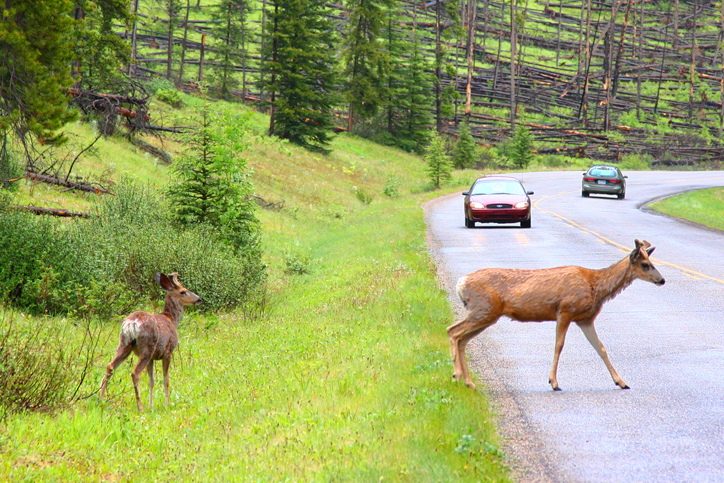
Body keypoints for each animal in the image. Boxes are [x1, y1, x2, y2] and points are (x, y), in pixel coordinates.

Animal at [99, 272, 201, 411]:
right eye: (183, 291)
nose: (199, 299)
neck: (171, 320)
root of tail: (131, 322)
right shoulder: (168, 351)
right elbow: (166, 379)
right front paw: (166, 404)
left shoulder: (153, 357)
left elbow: (151, 381)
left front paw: (151, 405)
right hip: (147, 346)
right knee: (135, 373)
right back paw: (140, 407)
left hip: (125, 344)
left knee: (110, 365)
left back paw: (101, 398)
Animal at [447, 239, 665, 391]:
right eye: (645, 264)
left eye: (650, 261)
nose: (662, 280)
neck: (595, 286)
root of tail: (461, 283)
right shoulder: (565, 310)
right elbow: (559, 345)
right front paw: (553, 382)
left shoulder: (585, 319)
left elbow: (601, 347)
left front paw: (621, 382)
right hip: (483, 310)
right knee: (453, 331)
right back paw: (456, 375)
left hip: (486, 314)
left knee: (462, 339)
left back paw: (469, 383)